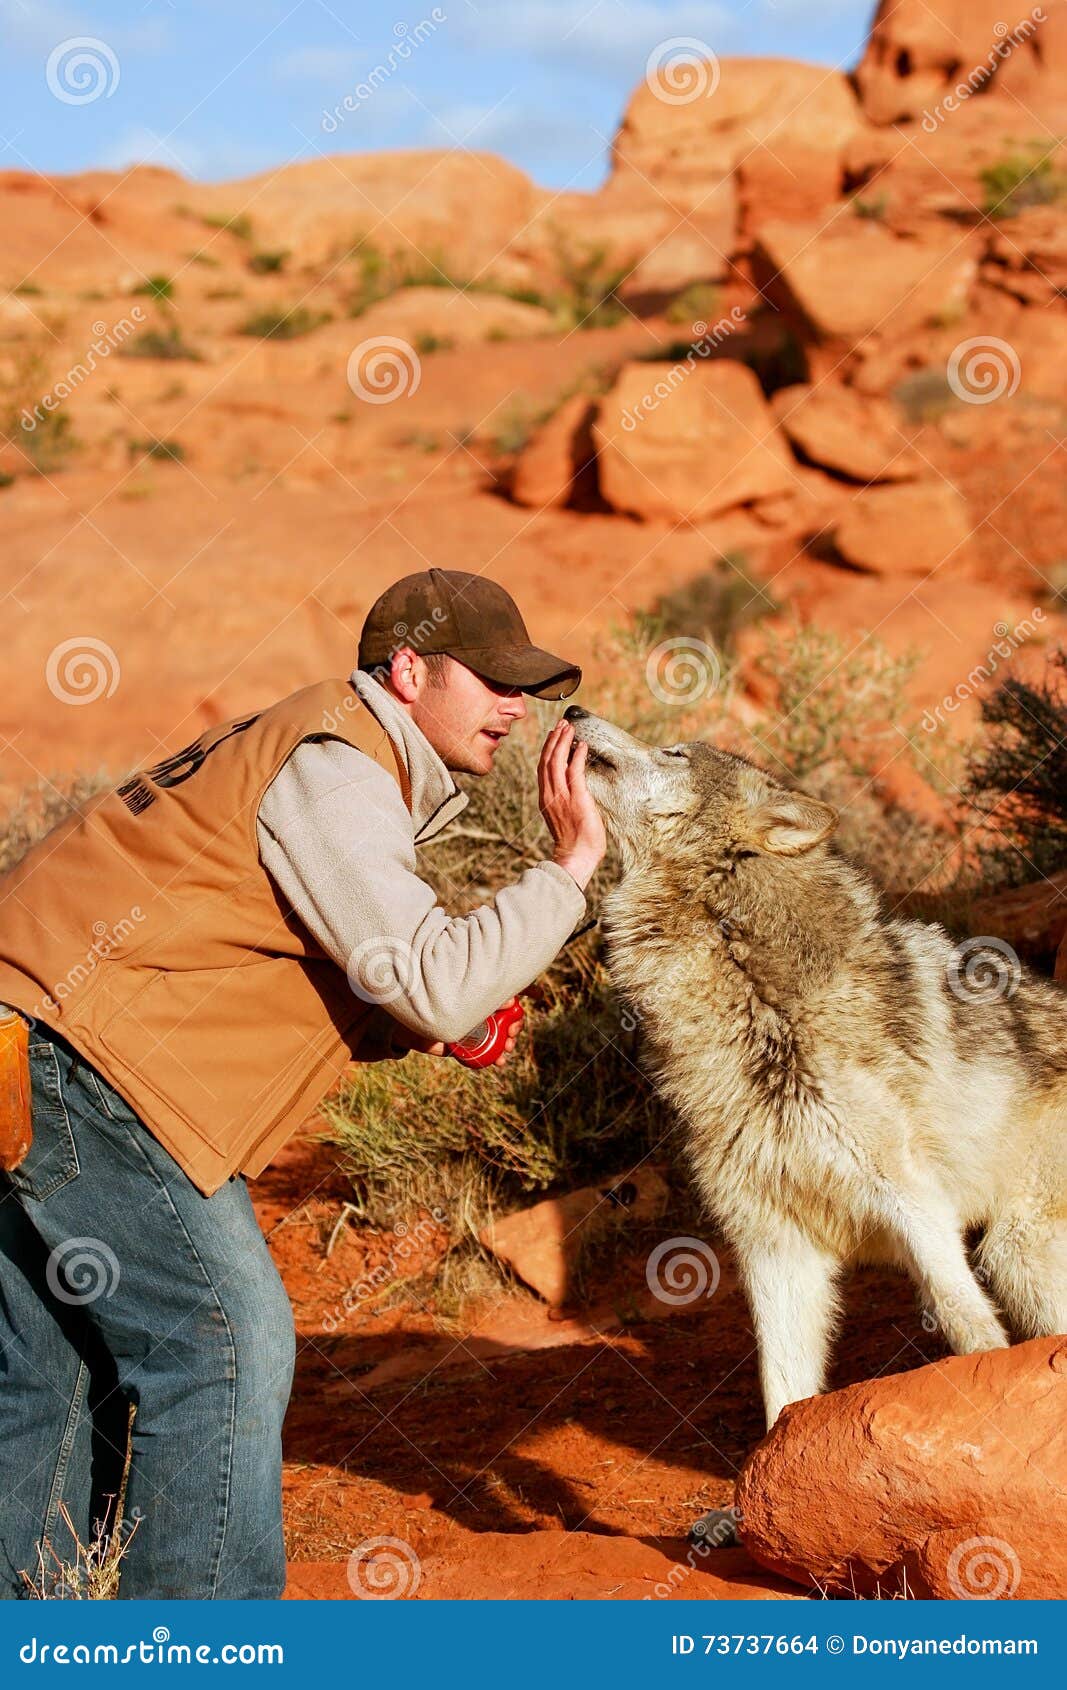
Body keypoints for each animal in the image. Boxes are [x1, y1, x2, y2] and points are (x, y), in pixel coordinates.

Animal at [565, 705, 1067, 1428]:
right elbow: (782, 1390)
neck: (757, 1004)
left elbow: (964, 1320)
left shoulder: (911, 1197)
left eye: (674, 752)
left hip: (1018, 1250)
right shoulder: (772, 1241)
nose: (574, 710)